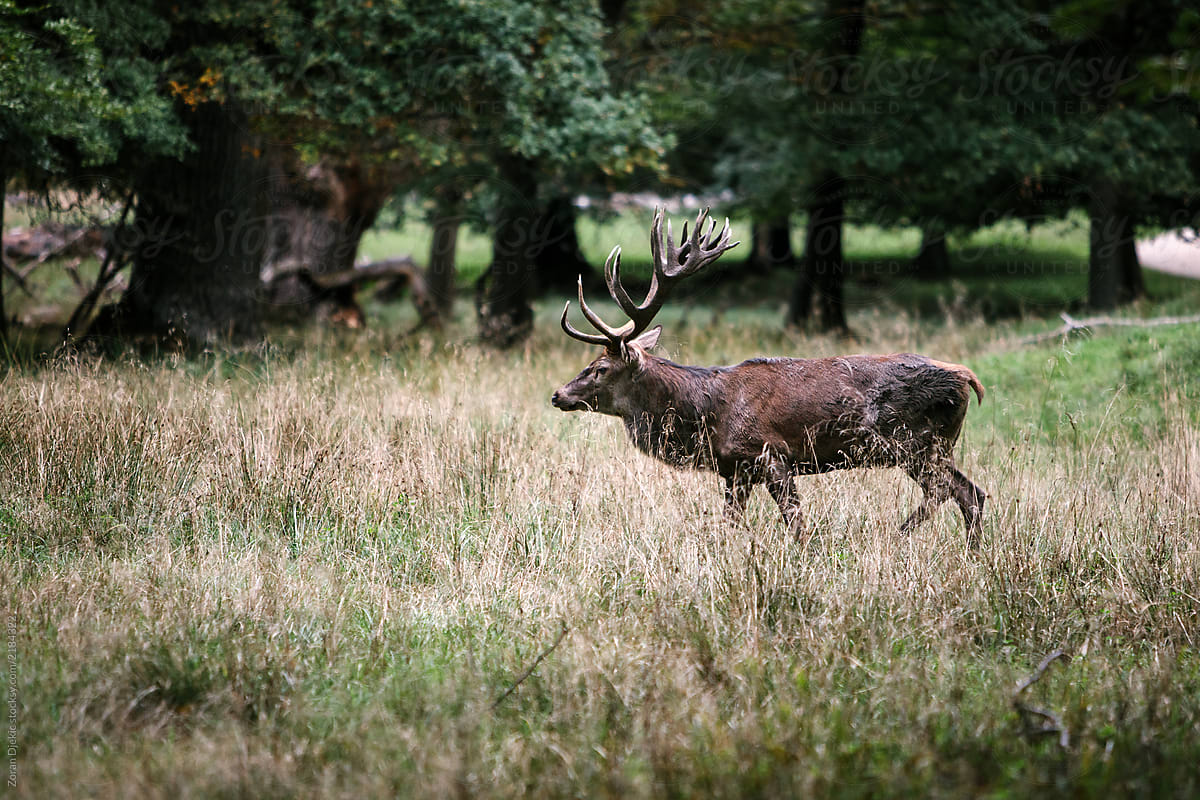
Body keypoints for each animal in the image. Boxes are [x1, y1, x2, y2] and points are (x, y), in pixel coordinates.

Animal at [551, 208, 986, 546]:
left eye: (600, 368)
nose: (558, 394)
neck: (710, 416)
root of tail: (968, 378)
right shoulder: (735, 470)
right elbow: (729, 522)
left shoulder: (771, 454)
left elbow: (796, 524)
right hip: (931, 447)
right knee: (971, 492)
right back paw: (970, 553)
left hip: (915, 442)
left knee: (951, 491)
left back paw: (904, 534)